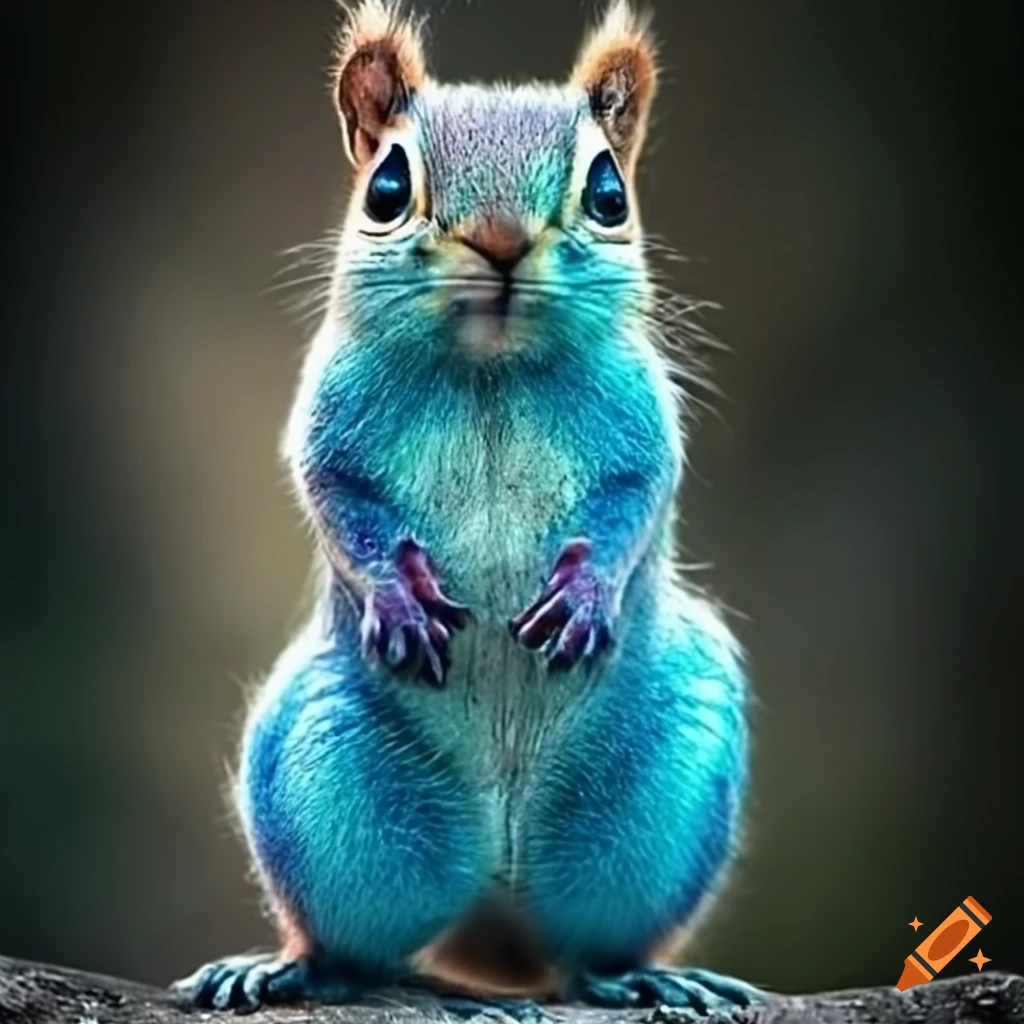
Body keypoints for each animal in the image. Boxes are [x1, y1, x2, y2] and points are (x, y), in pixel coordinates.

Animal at [174, 0, 758, 1017]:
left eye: (609, 192)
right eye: (386, 186)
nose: (501, 241)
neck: (491, 373)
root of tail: (498, 881)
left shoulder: (643, 417)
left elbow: (636, 496)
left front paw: (587, 593)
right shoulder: (329, 418)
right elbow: (336, 494)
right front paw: (396, 595)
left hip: (663, 783)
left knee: (590, 947)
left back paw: (640, 973)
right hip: (323, 770)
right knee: (357, 945)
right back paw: (300, 964)